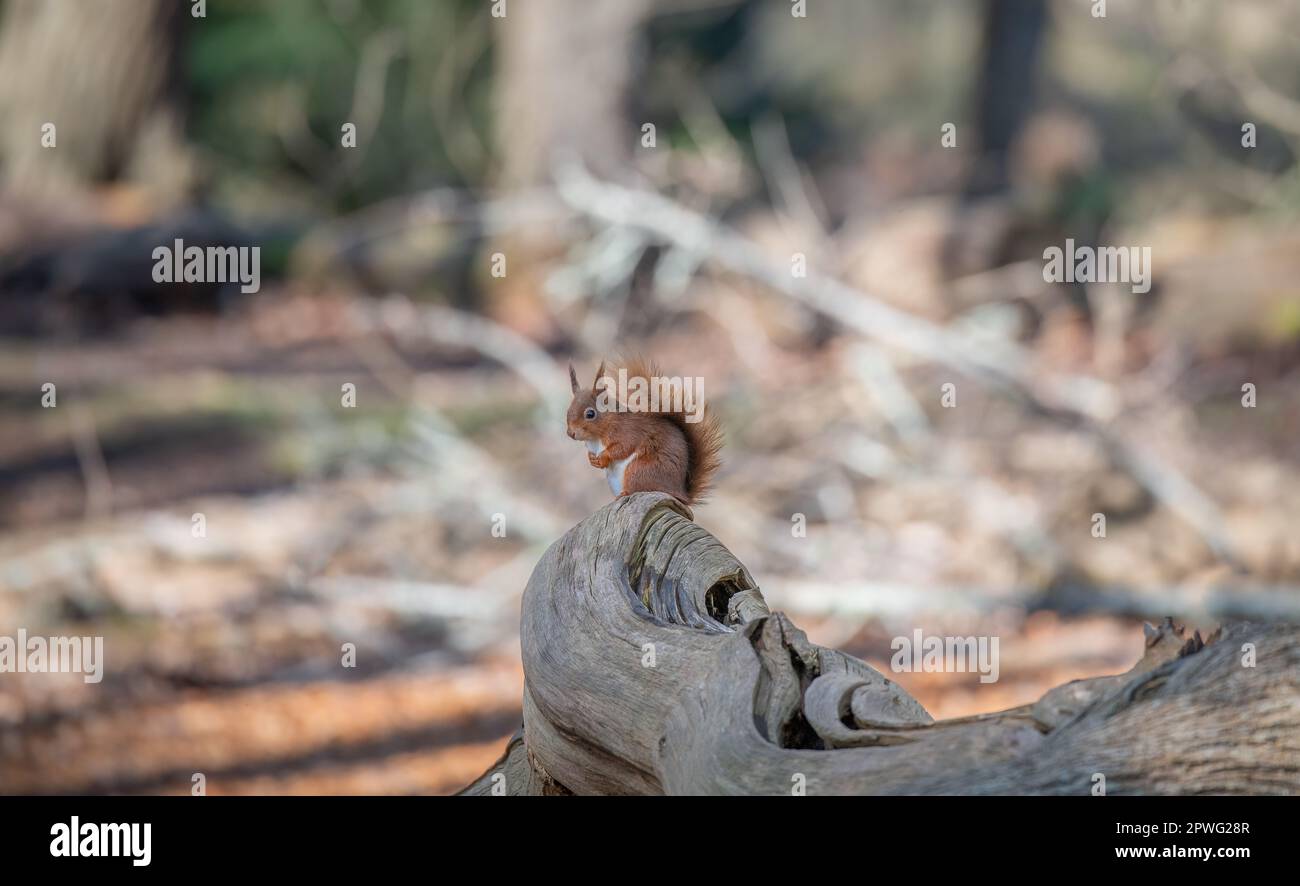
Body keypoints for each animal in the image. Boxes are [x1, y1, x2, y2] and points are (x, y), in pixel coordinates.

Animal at [566, 358, 723, 507]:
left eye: (590, 414)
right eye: (568, 411)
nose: (570, 433)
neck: (596, 437)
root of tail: (681, 494)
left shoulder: (627, 431)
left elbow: (623, 447)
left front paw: (604, 456)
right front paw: (592, 459)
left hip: (639, 471)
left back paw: (624, 494)